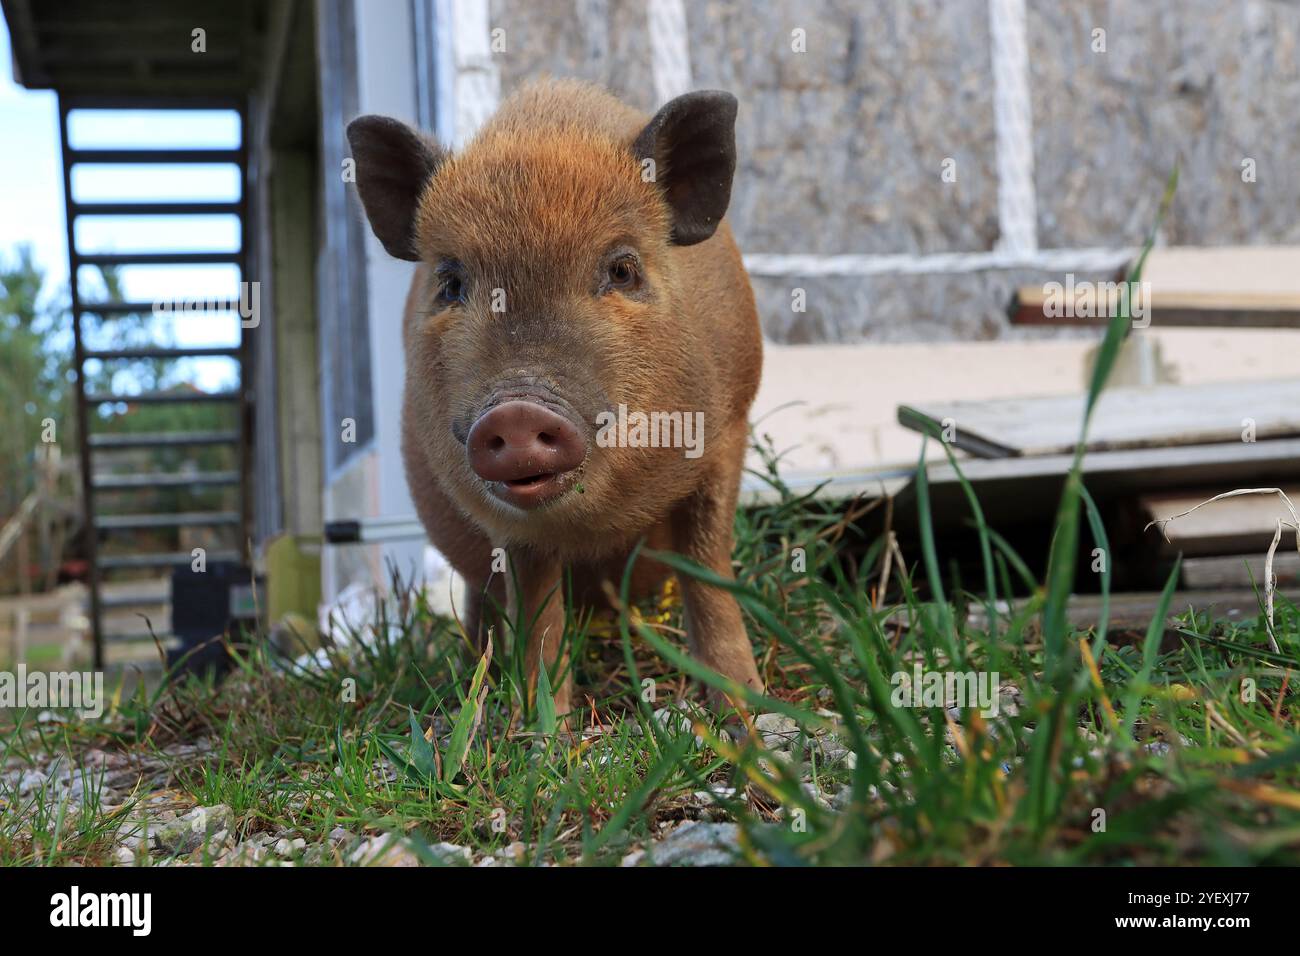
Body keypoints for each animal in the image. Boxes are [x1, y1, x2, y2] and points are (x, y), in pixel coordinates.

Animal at [346, 79, 763, 716]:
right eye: (451, 283)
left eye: (623, 270)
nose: (518, 410)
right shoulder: (508, 523)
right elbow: (538, 612)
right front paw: (541, 730)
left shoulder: (727, 432)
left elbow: (707, 564)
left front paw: (744, 709)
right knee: (482, 604)